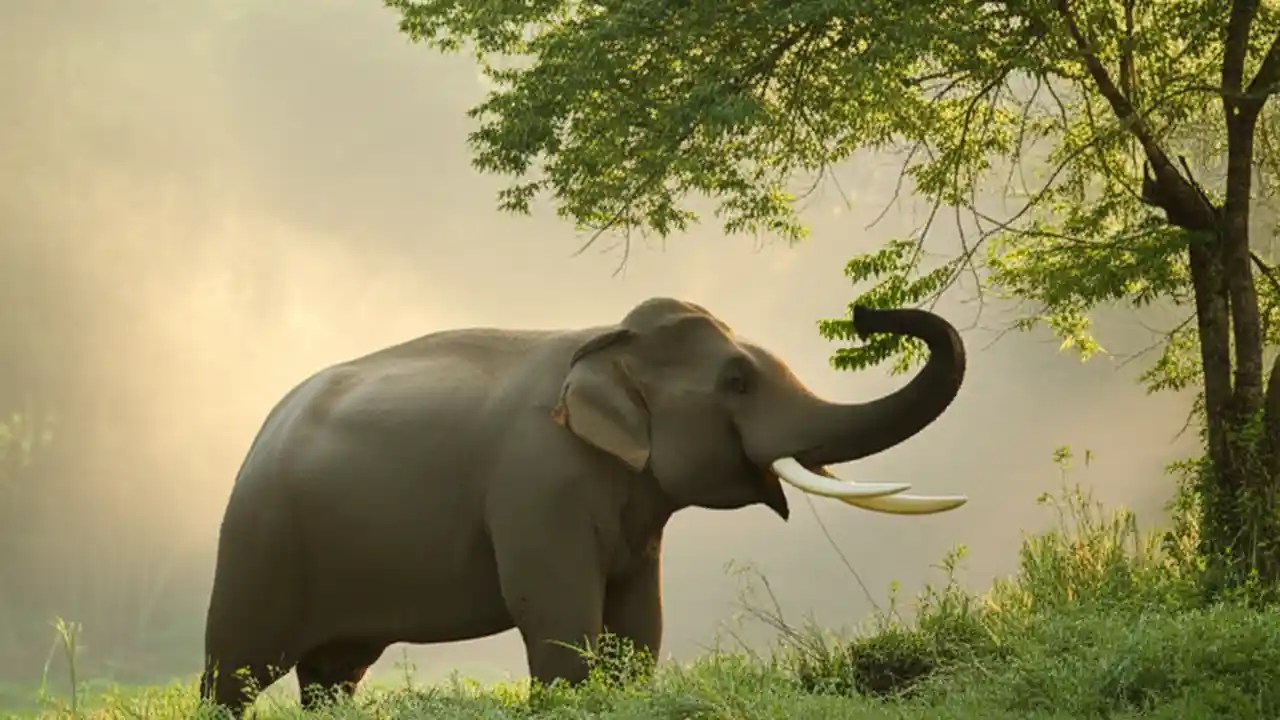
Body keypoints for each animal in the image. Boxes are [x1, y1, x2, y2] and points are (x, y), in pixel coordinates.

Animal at [198, 297, 968, 716]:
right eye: (738, 382)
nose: (864, 313)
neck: (603, 337)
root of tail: (261, 432)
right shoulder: (539, 484)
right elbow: (560, 622)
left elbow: (638, 625)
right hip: (260, 541)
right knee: (234, 671)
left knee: (332, 675)